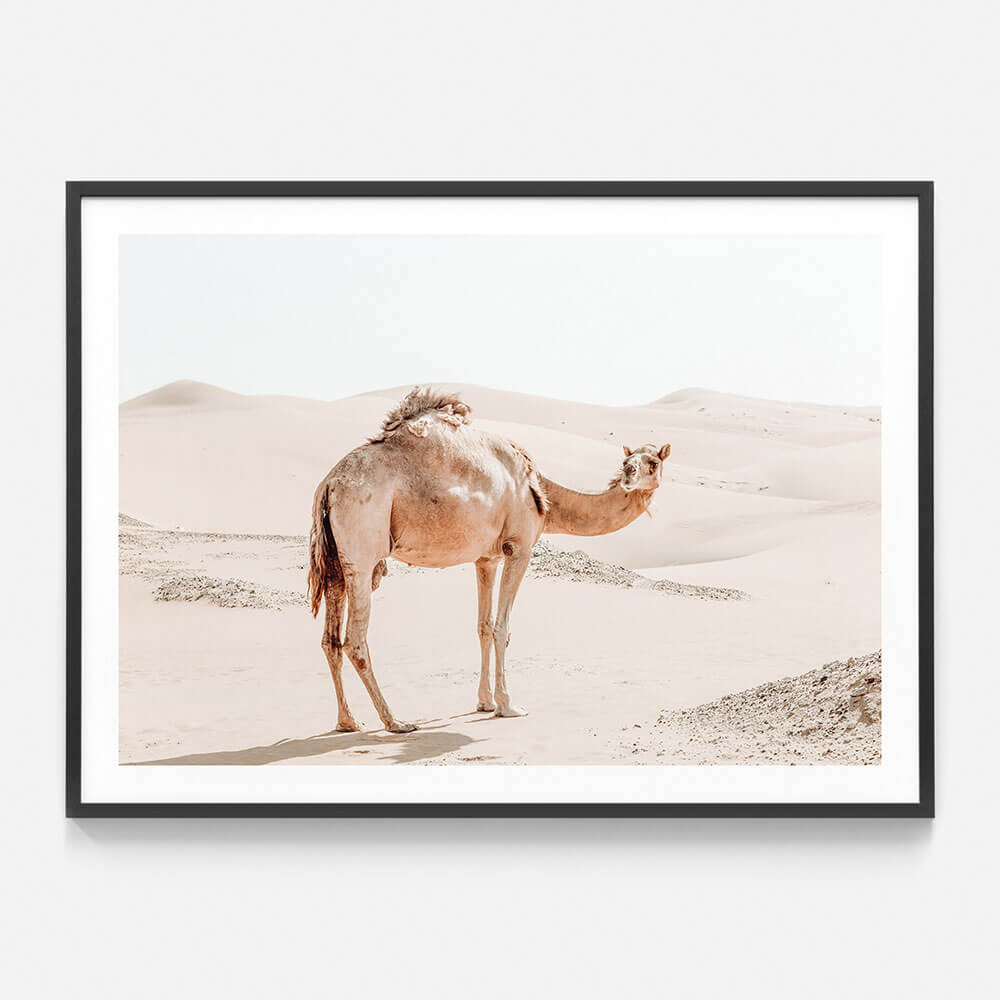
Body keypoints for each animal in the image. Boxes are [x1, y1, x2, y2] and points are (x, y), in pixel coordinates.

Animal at [307, 388, 670, 733]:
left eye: (651, 462)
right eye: (631, 461)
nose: (628, 474)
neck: (543, 493)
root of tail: (329, 484)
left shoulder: (486, 558)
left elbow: (483, 625)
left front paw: (484, 702)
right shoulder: (519, 548)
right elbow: (502, 627)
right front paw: (507, 705)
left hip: (337, 561)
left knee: (330, 639)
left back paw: (348, 721)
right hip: (362, 552)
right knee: (355, 640)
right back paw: (395, 721)